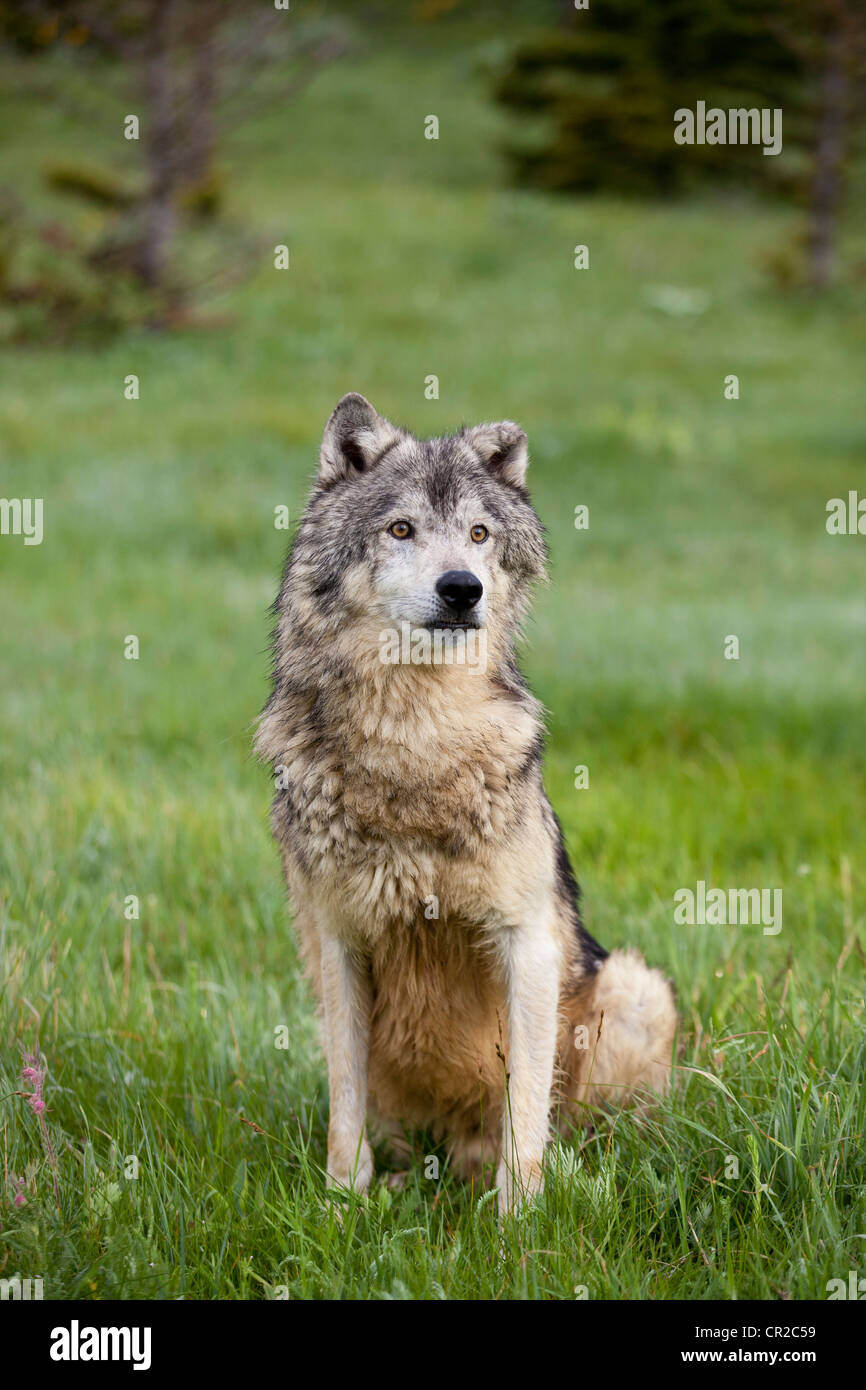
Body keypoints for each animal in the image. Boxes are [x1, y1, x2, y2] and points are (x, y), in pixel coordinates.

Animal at [256, 393, 677, 1214]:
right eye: (401, 529)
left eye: (479, 535)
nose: (461, 588)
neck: (416, 744)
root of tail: (451, 1155)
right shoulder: (336, 944)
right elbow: (343, 1105)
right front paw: (342, 1203)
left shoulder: (526, 941)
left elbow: (525, 1107)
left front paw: (519, 1220)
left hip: (633, 988)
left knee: (592, 1132)